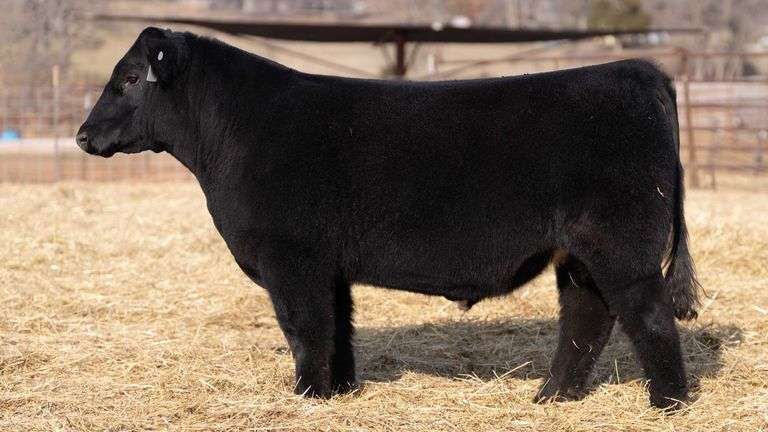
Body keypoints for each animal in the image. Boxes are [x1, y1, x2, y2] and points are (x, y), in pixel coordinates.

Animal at [77, 27, 701, 410]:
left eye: (129, 78)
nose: (83, 136)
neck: (236, 132)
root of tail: (637, 70)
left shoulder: (291, 259)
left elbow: (304, 327)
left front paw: (307, 395)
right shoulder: (328, 266)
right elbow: (338, 327)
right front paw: (338, 391)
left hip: (622, 246)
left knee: (647, 316)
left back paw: (667, 403)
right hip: (580, 254)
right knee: (586, 318)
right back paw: (551, 397)